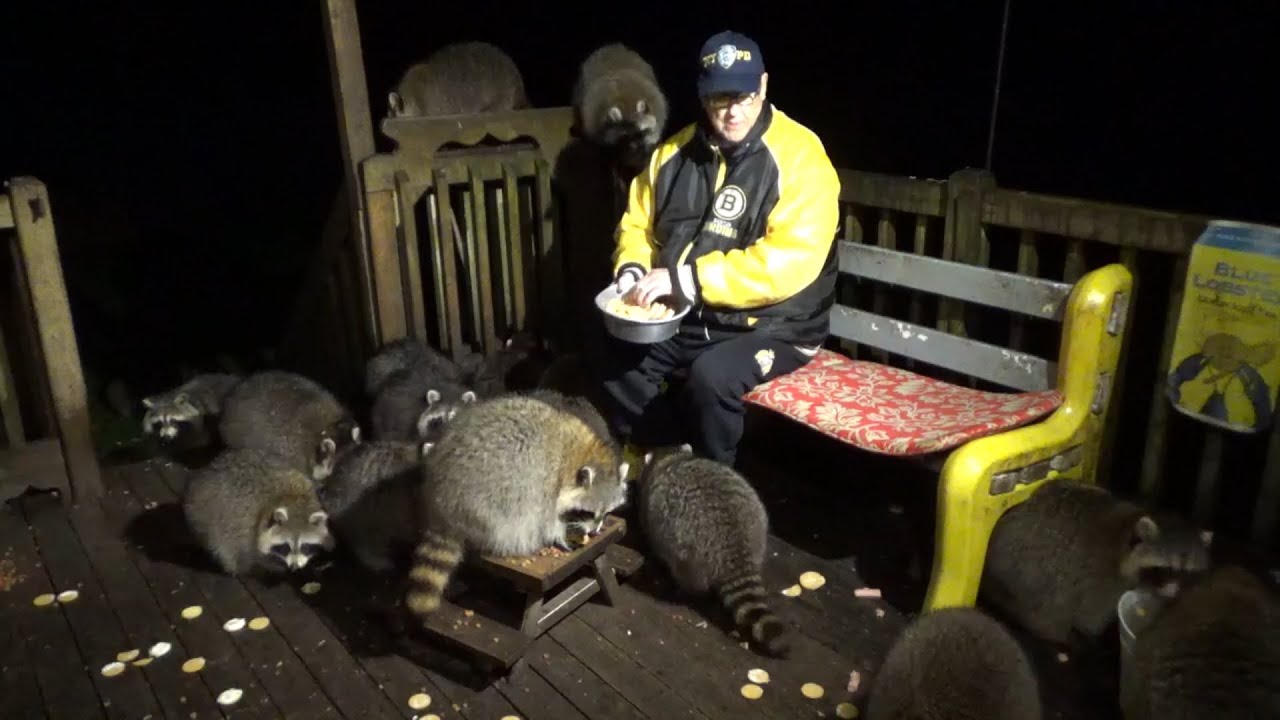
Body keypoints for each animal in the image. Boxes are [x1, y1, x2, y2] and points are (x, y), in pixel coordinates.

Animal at [182, 447, 334, 576]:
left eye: (305, 546)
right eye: (285, 547)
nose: (294, 567)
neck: (294, 500)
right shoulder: (248, 526)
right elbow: (252, 550)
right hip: (206, 514)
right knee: (225, 546)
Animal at [404, 395, 629, 619]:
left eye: (606, 513)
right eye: (588, 513)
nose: (595, 532)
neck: (583, 454)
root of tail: (444, 500)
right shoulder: (548, 480)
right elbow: (546, 518)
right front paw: (560, 534)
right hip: (493, 491)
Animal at [572, 43, 668, 178]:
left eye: (641, 132)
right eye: (626, 136)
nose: (635, 152)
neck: (627, 105)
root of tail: (612, 46)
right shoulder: (598, 127)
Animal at [636, 444, 790, 656]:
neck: (672, 458)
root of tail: (734, 543)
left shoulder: (650, 502)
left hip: (688, 549)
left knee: (684, 570)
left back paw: (683, 587)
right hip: (758, 520)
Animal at [981, 479, 1213, 646]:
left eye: (1187, 572)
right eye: (1164, 569)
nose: (1173, 594)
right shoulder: (1102, 581)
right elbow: (1089, 619)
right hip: (1036, 585)